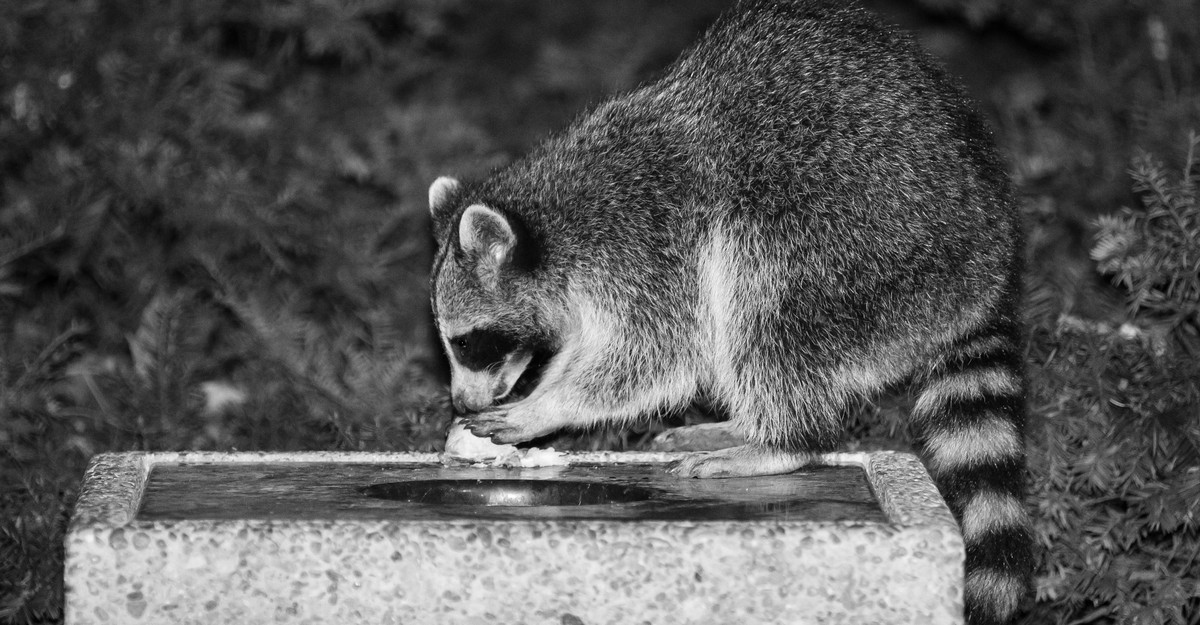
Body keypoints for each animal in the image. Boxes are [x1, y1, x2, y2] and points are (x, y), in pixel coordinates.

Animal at [428, 0, 1033, 622]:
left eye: (465, 342)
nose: (461, 402)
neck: (557, 225)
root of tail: (989, 267)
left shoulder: (647, 248)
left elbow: (652, 357)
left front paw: (544, 406)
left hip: (857, 232)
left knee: (764, 304)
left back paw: (783, 442)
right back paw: (746, 424)